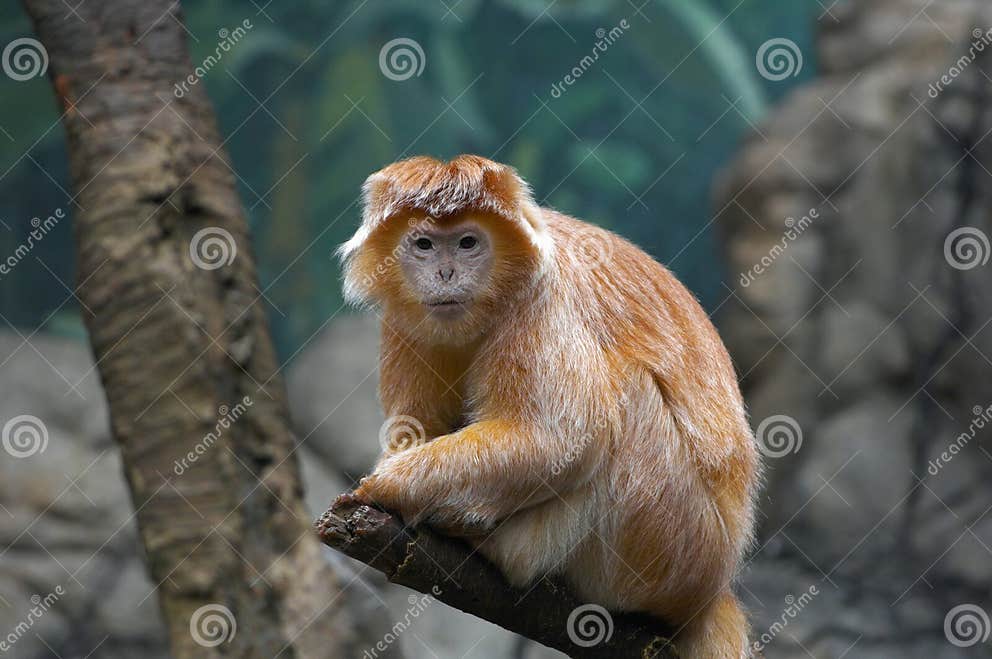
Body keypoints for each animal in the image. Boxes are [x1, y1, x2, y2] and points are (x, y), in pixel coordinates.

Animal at [339, 155, 761, 658]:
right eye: (423, 245)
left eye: (467, 243)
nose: (446, 275)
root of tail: (715, 589)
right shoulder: (404, 321)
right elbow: (415, 428)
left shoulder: (541, 299)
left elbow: (560, 440)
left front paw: (384, 487)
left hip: (675, 547)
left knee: (622, 399)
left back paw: (504, 548)